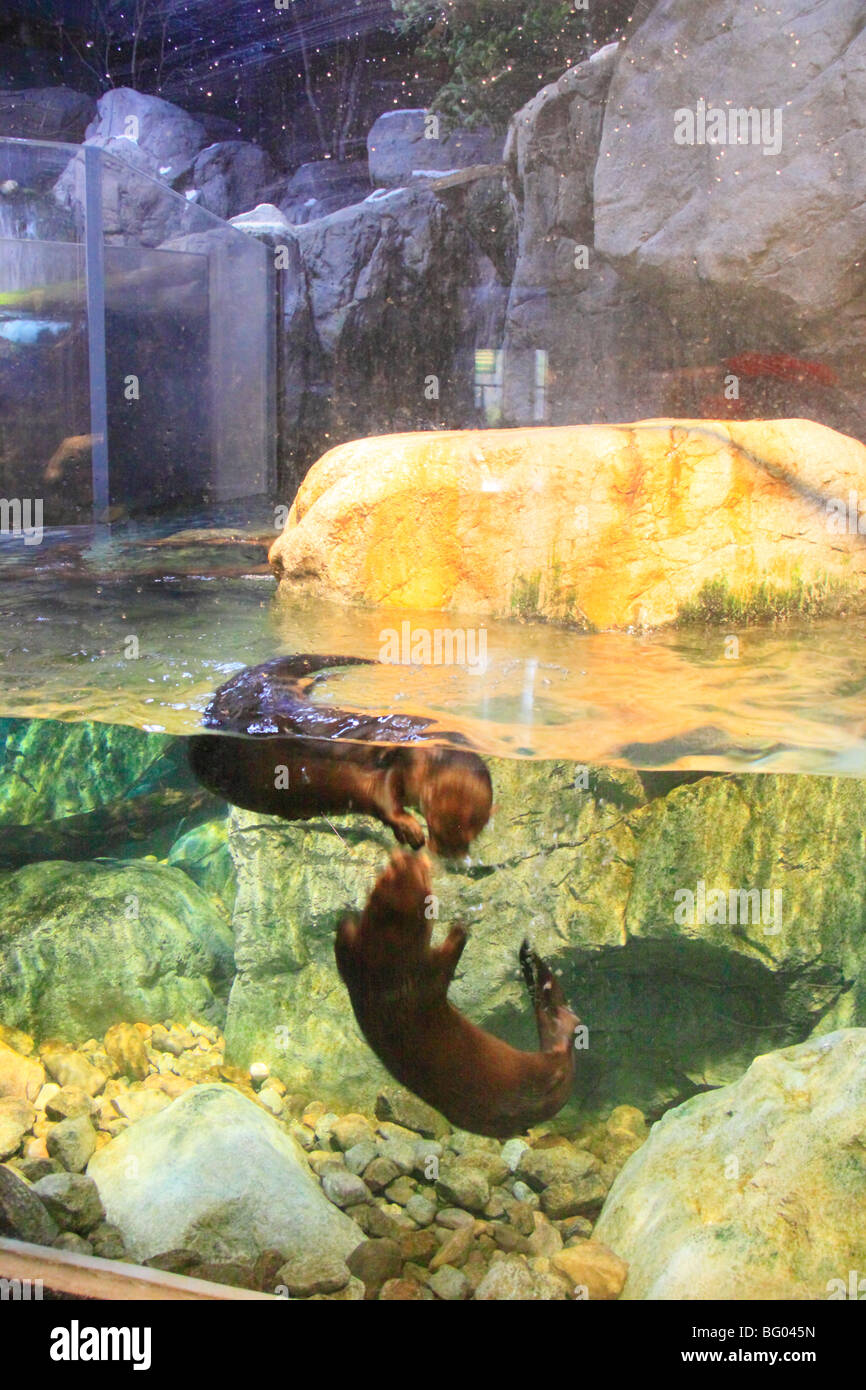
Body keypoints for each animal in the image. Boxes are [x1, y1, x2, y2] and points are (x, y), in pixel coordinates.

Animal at [188, 655, 492, 856]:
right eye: (446, 820)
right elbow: (384, 799)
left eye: (473, 830)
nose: (450, 852)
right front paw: (410, 828)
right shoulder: (382, 764)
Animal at [336, 849, 579, 1138]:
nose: (409, 853)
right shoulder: (419, 972)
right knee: (565, 1026)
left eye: (391, 868)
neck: (387, 970)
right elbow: (445, 963)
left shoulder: (358, 963)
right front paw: (461, 927)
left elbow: (343, 945)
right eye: (422, 875)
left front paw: (346, 916)